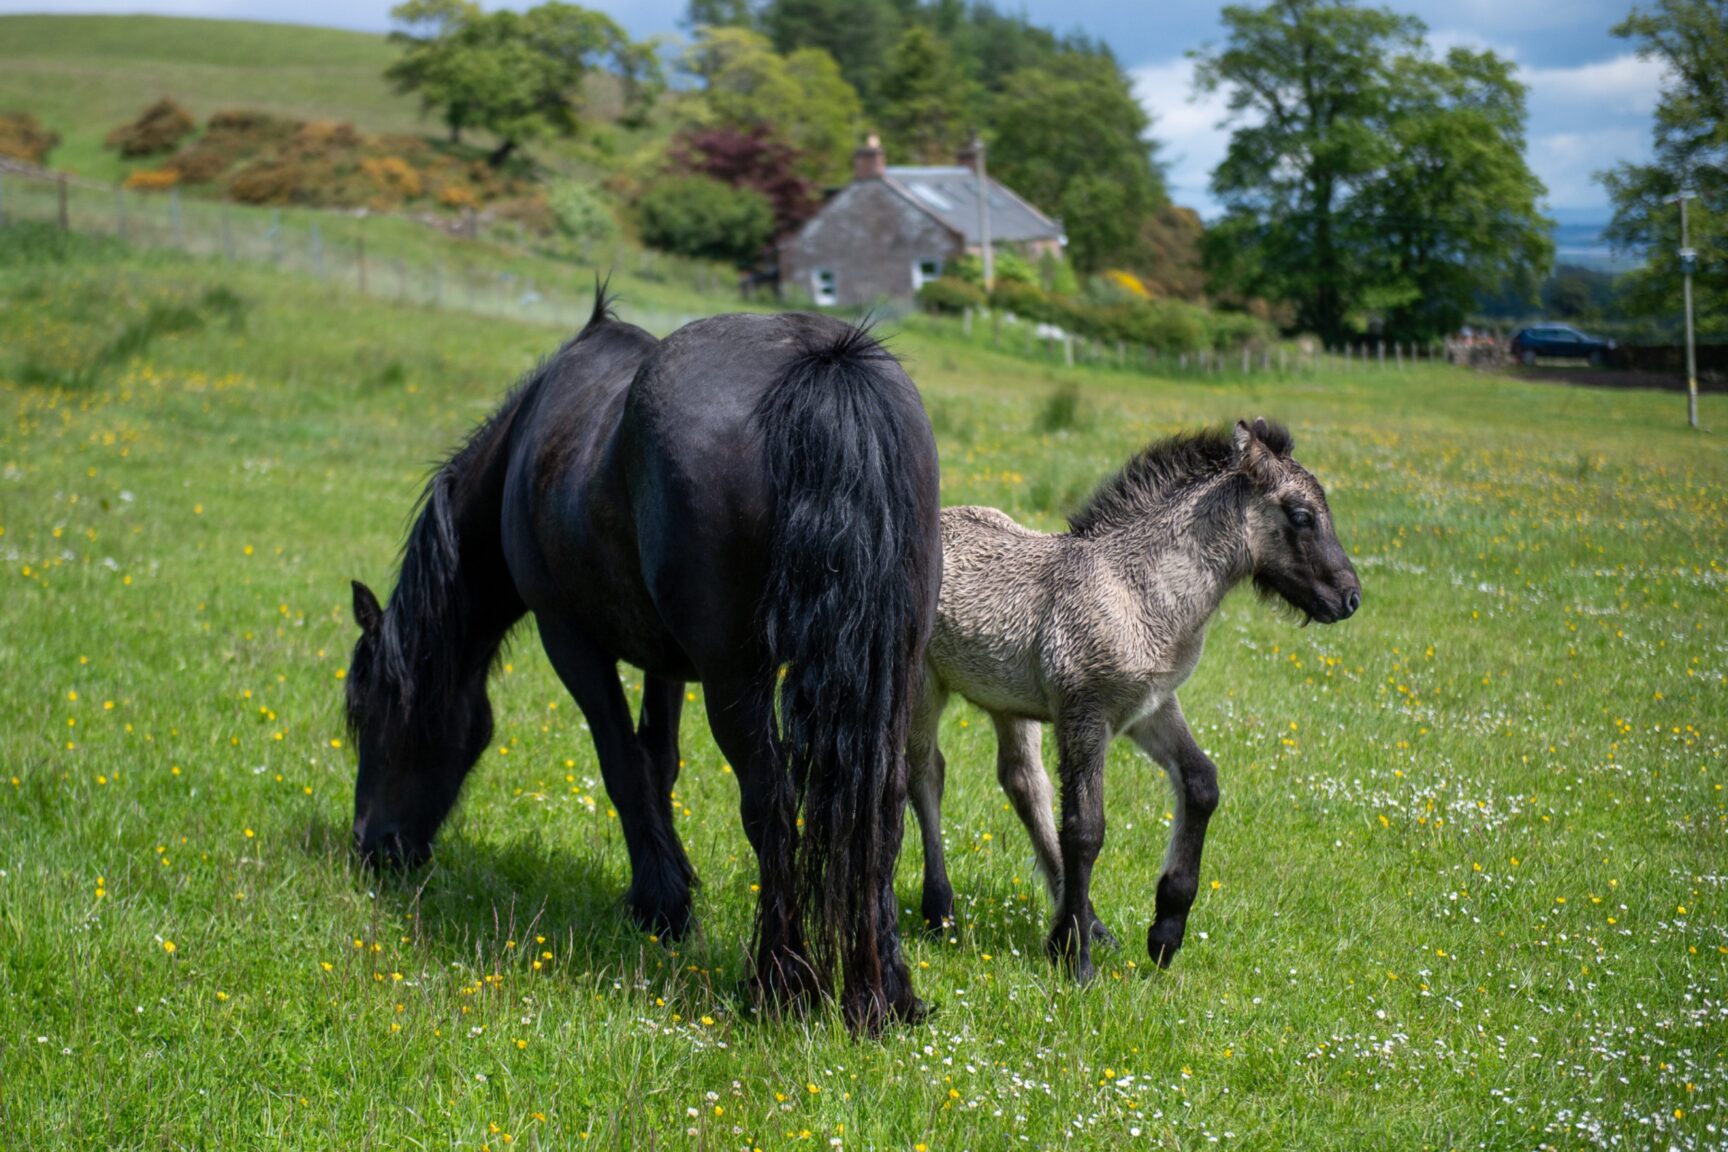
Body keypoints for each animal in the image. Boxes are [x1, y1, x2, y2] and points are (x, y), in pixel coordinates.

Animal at [342, 292, 942, 1033]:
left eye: (370, 716)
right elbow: (659, 762)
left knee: (770, 804)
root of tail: (824, 363)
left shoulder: (570, 640)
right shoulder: (667, 661)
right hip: (890, 670)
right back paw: (885, 993)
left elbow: (623, 767)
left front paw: (661, 904)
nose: (372, 846)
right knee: (882, 800)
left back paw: (777, 984)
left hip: (735, 679)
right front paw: (669, 886)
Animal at [906, 418, 1360, 983]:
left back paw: (1090, 922)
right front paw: (1075, 959)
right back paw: (940, 912)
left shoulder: (1152, 707)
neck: (1137, 589)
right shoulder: (1084, 713)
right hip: (924, 685)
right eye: (1301, 516)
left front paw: (1164, 930)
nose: (1349, 597)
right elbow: (1085, 830)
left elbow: (1201, 783)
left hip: (1008, 701)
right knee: (926, 774)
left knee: (1022, 781)